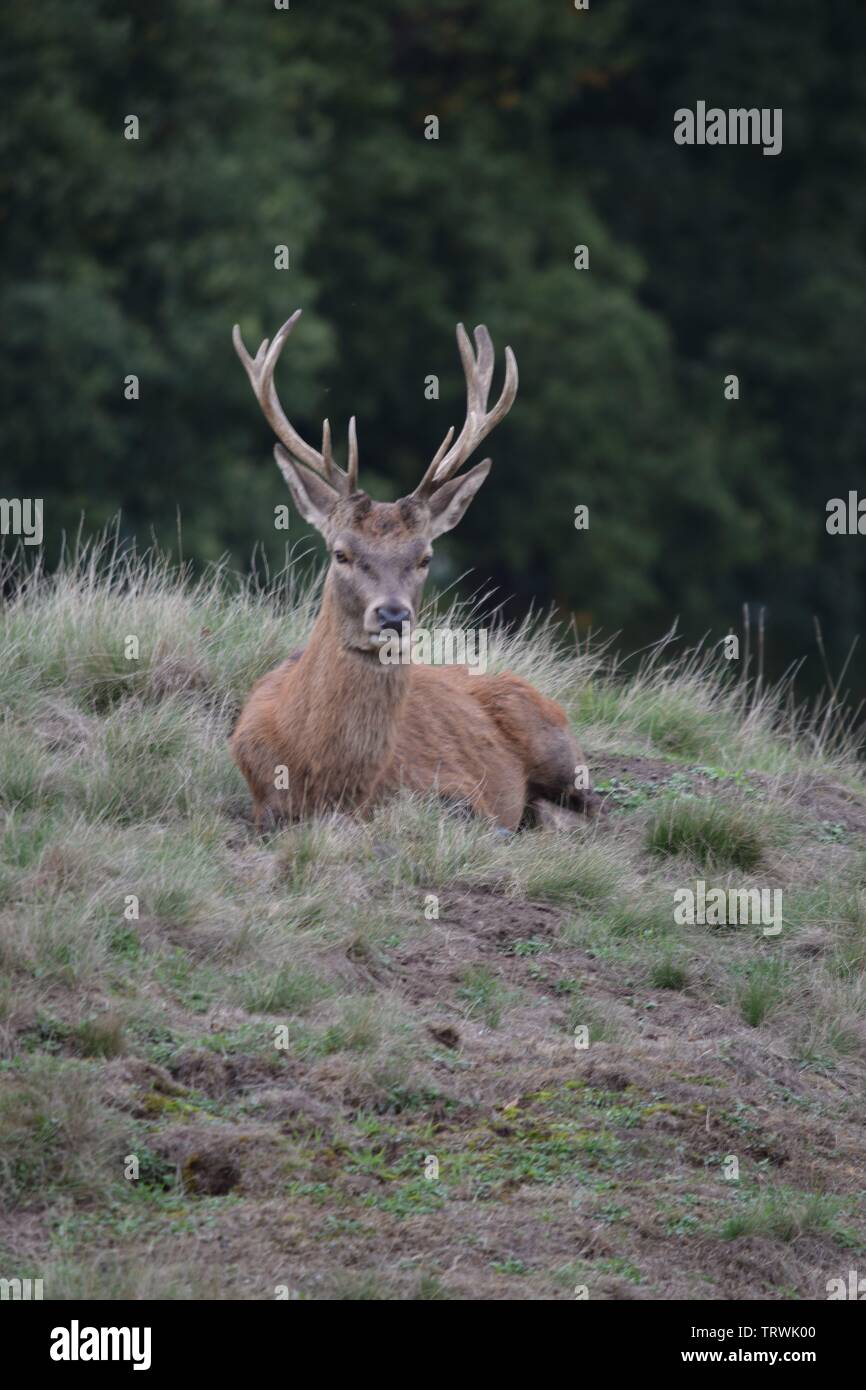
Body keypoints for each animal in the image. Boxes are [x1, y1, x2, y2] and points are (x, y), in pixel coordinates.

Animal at [230, 309, 595, 832]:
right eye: (340, 553)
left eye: (425, 557)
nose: (393, 616)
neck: (326, 782)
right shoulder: (264, 802)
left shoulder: (453, 785)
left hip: (558, 746)